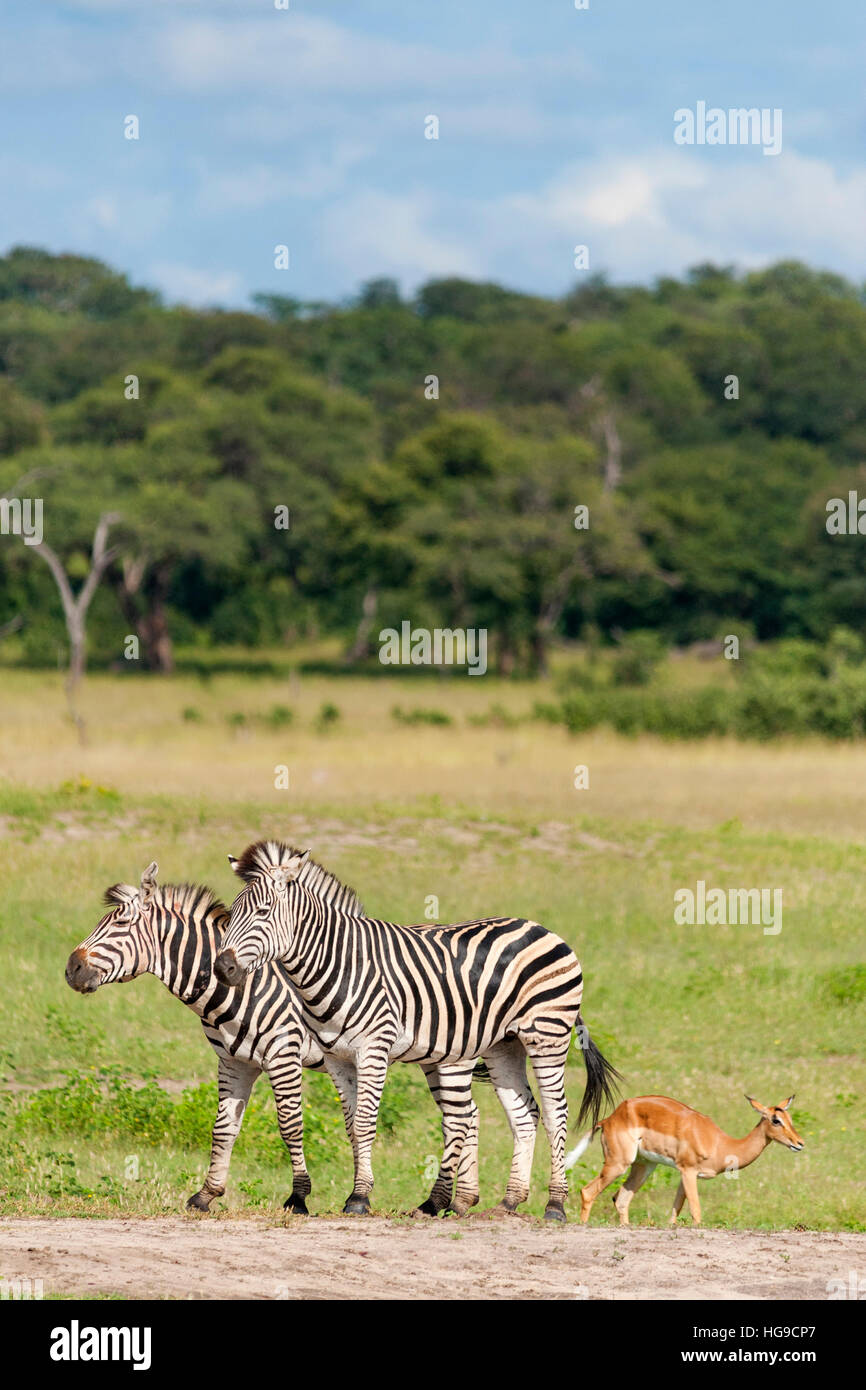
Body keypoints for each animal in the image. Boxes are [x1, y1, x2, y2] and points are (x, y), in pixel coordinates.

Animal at [65, 862, 485, 1217]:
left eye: (120, 926)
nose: (71, 969)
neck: (241, 987)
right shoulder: (234, 1061)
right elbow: (223, 1127)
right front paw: (206, 1194)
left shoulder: (283, 1053)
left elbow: (290, 1123)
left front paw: (298, 1196)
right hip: (436, 1056)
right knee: (470, 1114)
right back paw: (463, 1201)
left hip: (454, 1057)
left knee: (460, 1117)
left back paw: (447, 1201)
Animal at [215, 841, 620, 1220]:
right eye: (232, 914)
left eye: (264, 911)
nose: (222, 968)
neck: (338, 962)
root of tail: (542, 928)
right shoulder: (336, 1058)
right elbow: (351, 1124)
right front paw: (356, 1191)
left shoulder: (373, 1048)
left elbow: (366, 1122)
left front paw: (359, 1198)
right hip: (503, 1045)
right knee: (523, 1114)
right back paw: (508, 1202)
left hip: (546, 1034)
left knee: (555, 1113)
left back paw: (554, 1204)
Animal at [567, 1093, 804, 1226]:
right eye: (775, 1120)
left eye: (789, 1118)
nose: (799, 1143)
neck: (721, 1144)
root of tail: (609, 1119)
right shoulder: (688, 1171)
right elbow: (696, 1211)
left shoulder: (685, 1174)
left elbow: (675, 1210)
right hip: (618, 1164)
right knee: (588, 1192)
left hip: (644, 1166)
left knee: (622, 1198)